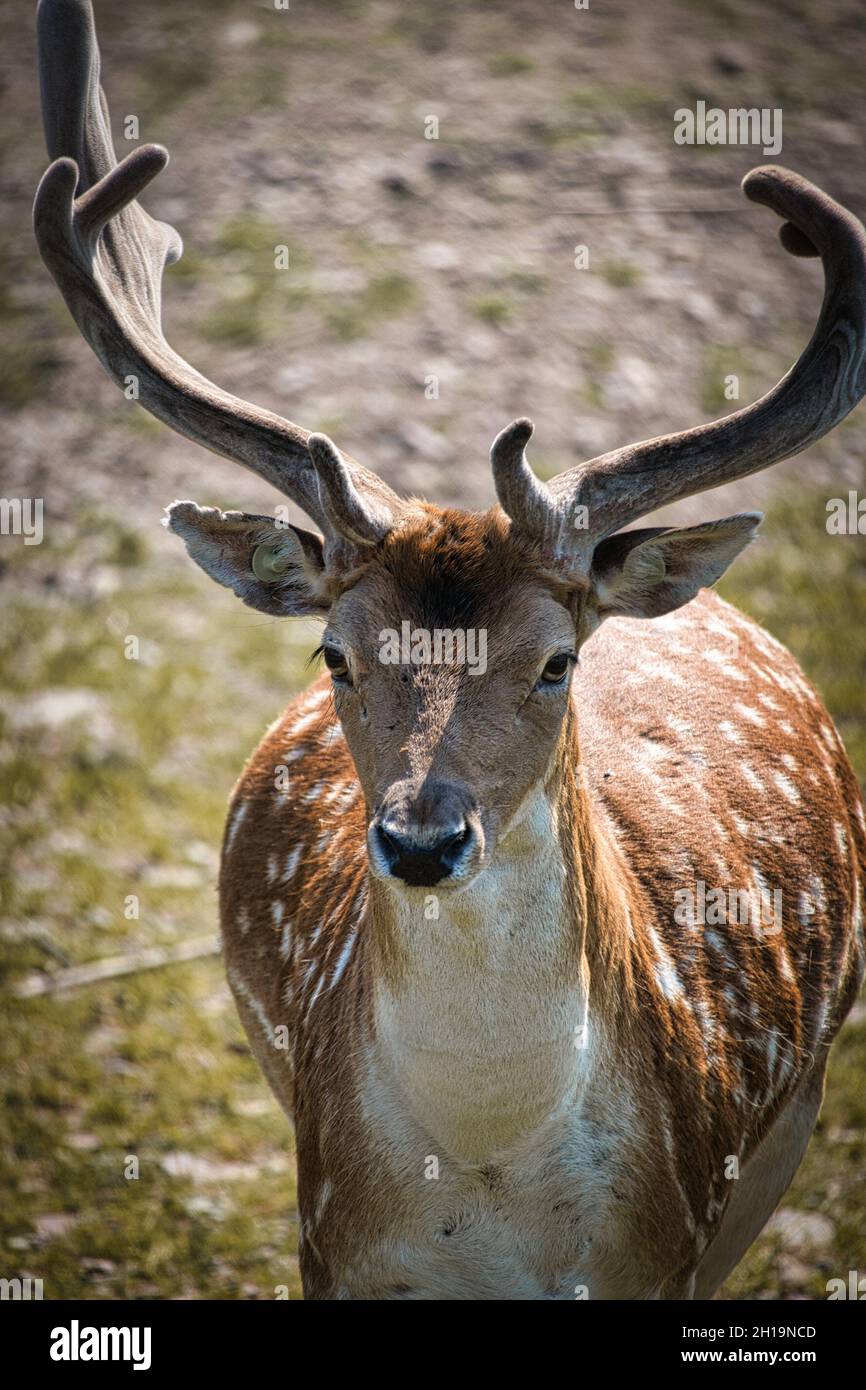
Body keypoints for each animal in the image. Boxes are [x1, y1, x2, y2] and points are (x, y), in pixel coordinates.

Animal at [35, 0, 866, 1301]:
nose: (423, 840)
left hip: (786, 1130)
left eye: (555, 660)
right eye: (333, 655)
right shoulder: (328, 1231)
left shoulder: (668, 1236)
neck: (480, 1178)